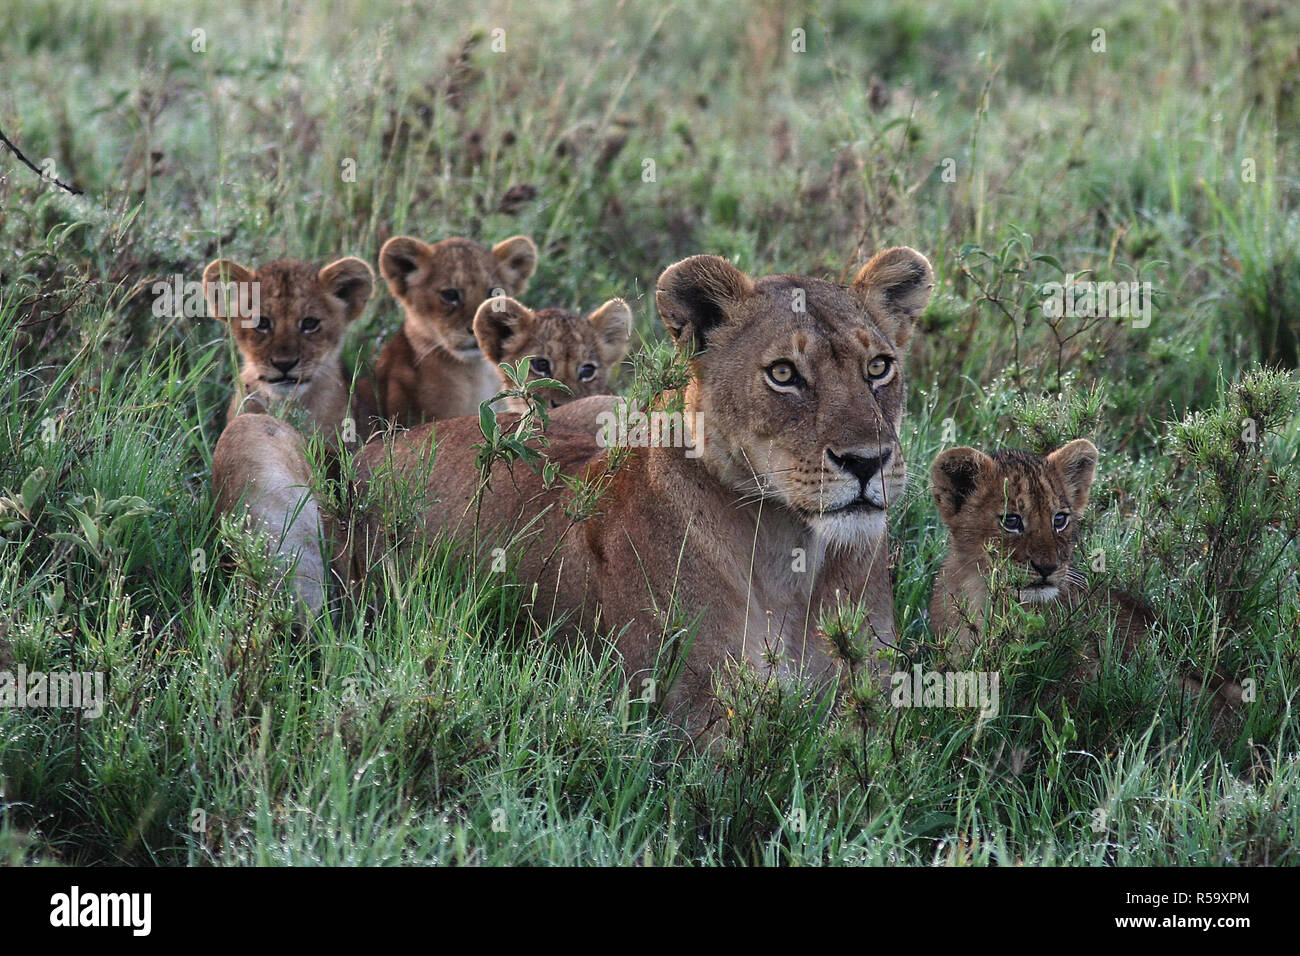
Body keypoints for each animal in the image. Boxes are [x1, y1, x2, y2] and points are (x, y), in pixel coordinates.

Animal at [352, 247, 935, 735]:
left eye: (878, 367)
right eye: (784, 373)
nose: (867, 461)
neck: (790, 552)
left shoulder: (873, 697)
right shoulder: (688, 716)